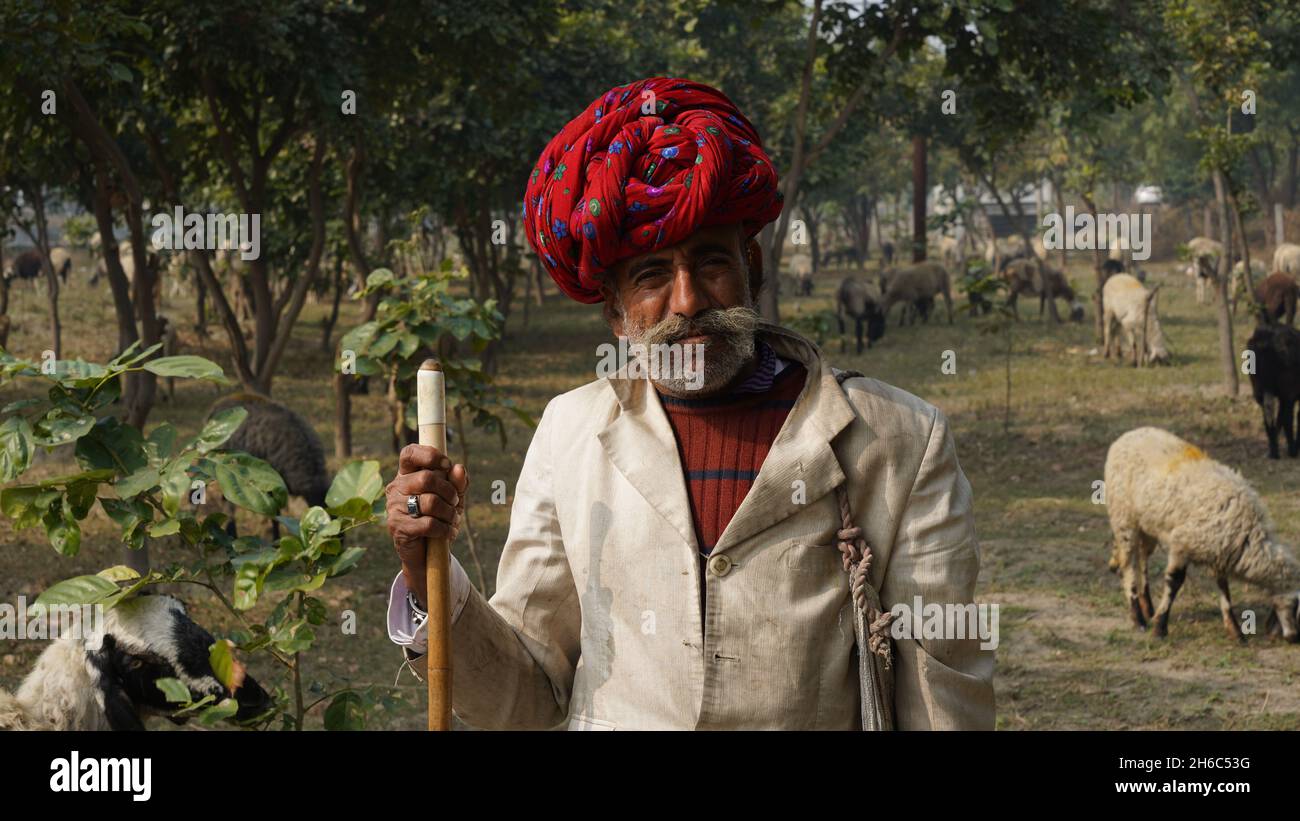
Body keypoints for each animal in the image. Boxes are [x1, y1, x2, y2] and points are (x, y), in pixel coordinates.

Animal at [1104, 426, 1300, 643]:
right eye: (1297, 607)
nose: (1294, 637)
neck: (1248, 537)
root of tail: (1128, 434)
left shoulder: (1221, 549)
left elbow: (1223, 587)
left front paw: (1235, 630)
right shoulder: (1183, 543)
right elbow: (1174, 582)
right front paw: (1160, 627)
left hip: (1147, 524)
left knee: (1142, 558)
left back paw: (1147, 607)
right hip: (1124, 517)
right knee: (1129, 564)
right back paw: (1138, 618)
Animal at [1246, 322, 1300, 460]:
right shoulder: (1289, 394)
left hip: (1259, 389)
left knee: (1268, 415)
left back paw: (1273, 451)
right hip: (1287, 392)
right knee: (1287, 418)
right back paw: (1291, 451)